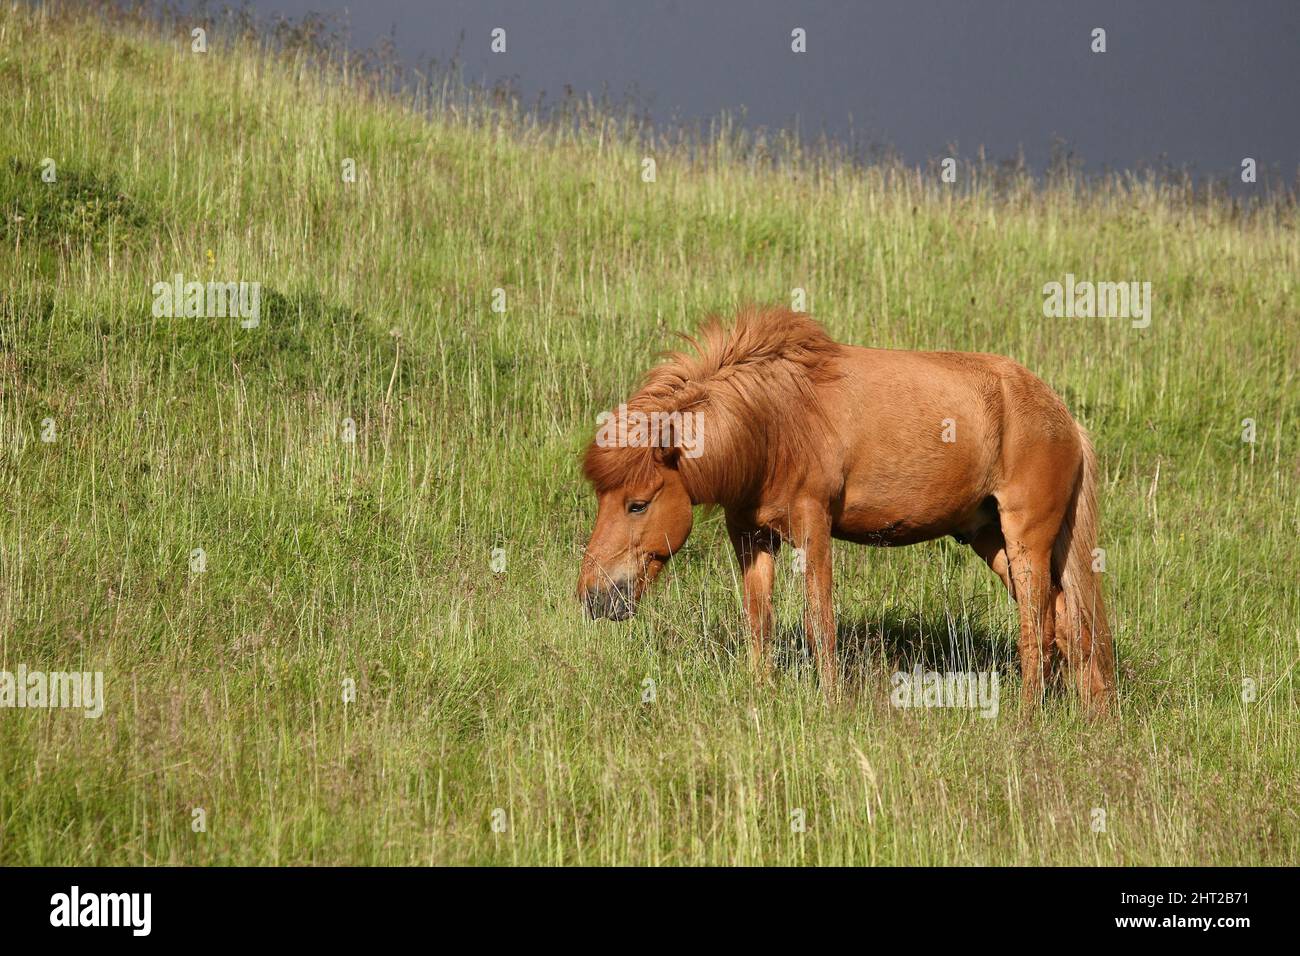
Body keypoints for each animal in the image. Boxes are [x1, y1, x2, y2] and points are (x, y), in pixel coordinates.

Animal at [577, 306, 1115, 713]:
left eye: (637, 504)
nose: (593, 597)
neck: (775, 421)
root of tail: (1063, 417)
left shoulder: (812, 525)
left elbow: (820, 621)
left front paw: (830, 703)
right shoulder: (750, 534)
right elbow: (759, 619)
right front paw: (760, 692)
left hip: (1027, 539)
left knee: (1037, 623)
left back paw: (1027, 715)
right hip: (990, 538)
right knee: (1067, 622)